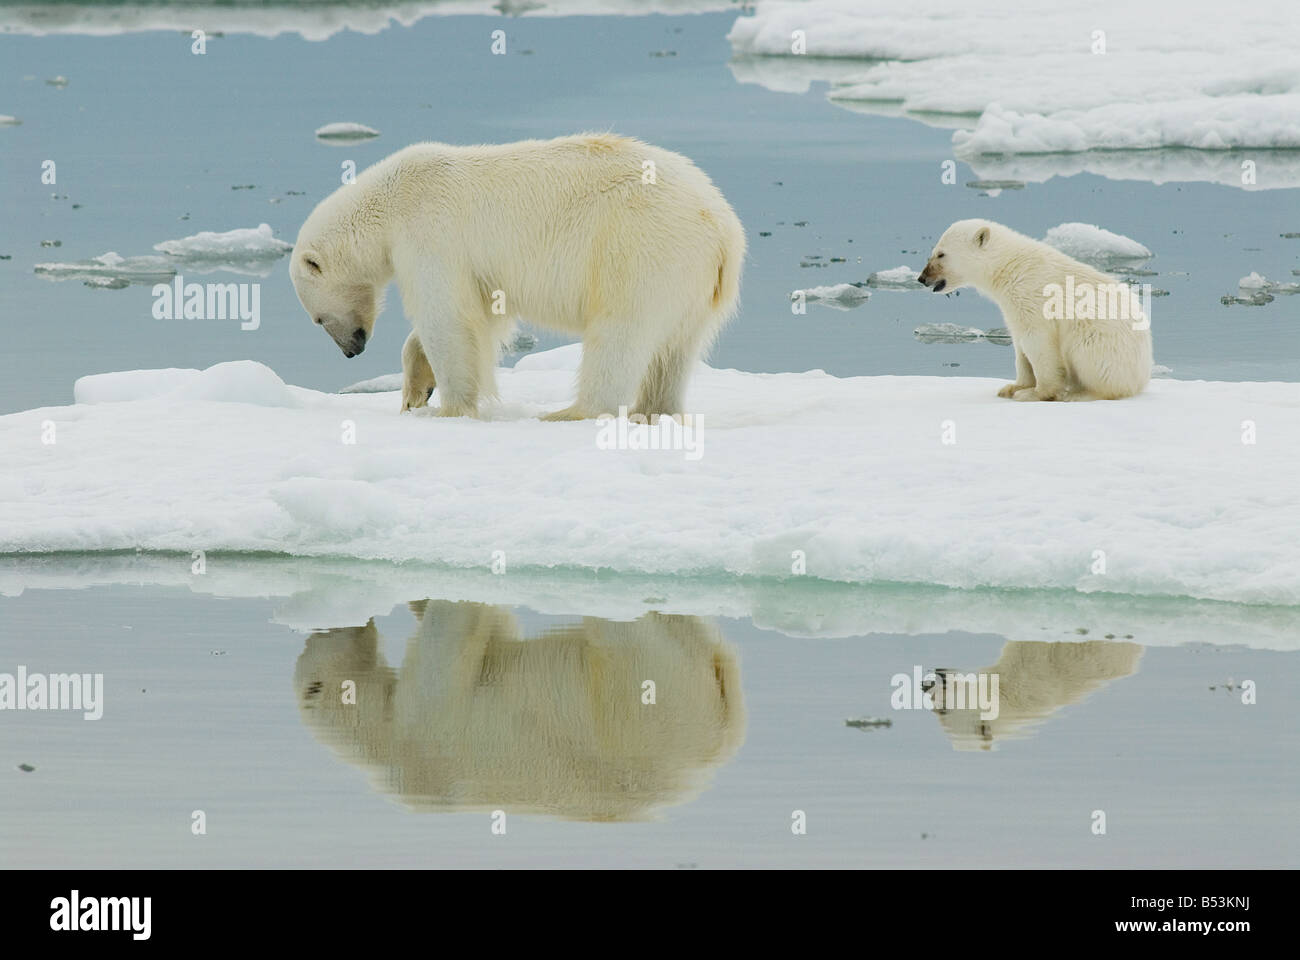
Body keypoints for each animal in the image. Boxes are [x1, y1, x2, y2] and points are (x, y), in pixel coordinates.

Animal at [289, 133, 746, 419]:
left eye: (317, 318)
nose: (352, 350)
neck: (390, 199)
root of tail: (724, 227)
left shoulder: (429, 234)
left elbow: (448, 319)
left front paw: (449, 408)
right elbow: (482, 314)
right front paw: (418, 392)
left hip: (642, 247)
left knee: (621, 332)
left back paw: (570, 413)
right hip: (694, 280)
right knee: (676, 349)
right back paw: (653, 412)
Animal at [917, 219, 1153, 401]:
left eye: (941, 254)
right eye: (934, 252)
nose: (922, 278)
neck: (1011, 266)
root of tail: (1142, 376)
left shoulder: (1032, 296)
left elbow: (1038, 342)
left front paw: (1035, 393)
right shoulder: (1012, 307)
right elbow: (1020, 345)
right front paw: (1012, 387)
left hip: (1103, 342)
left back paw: (1081, 394)